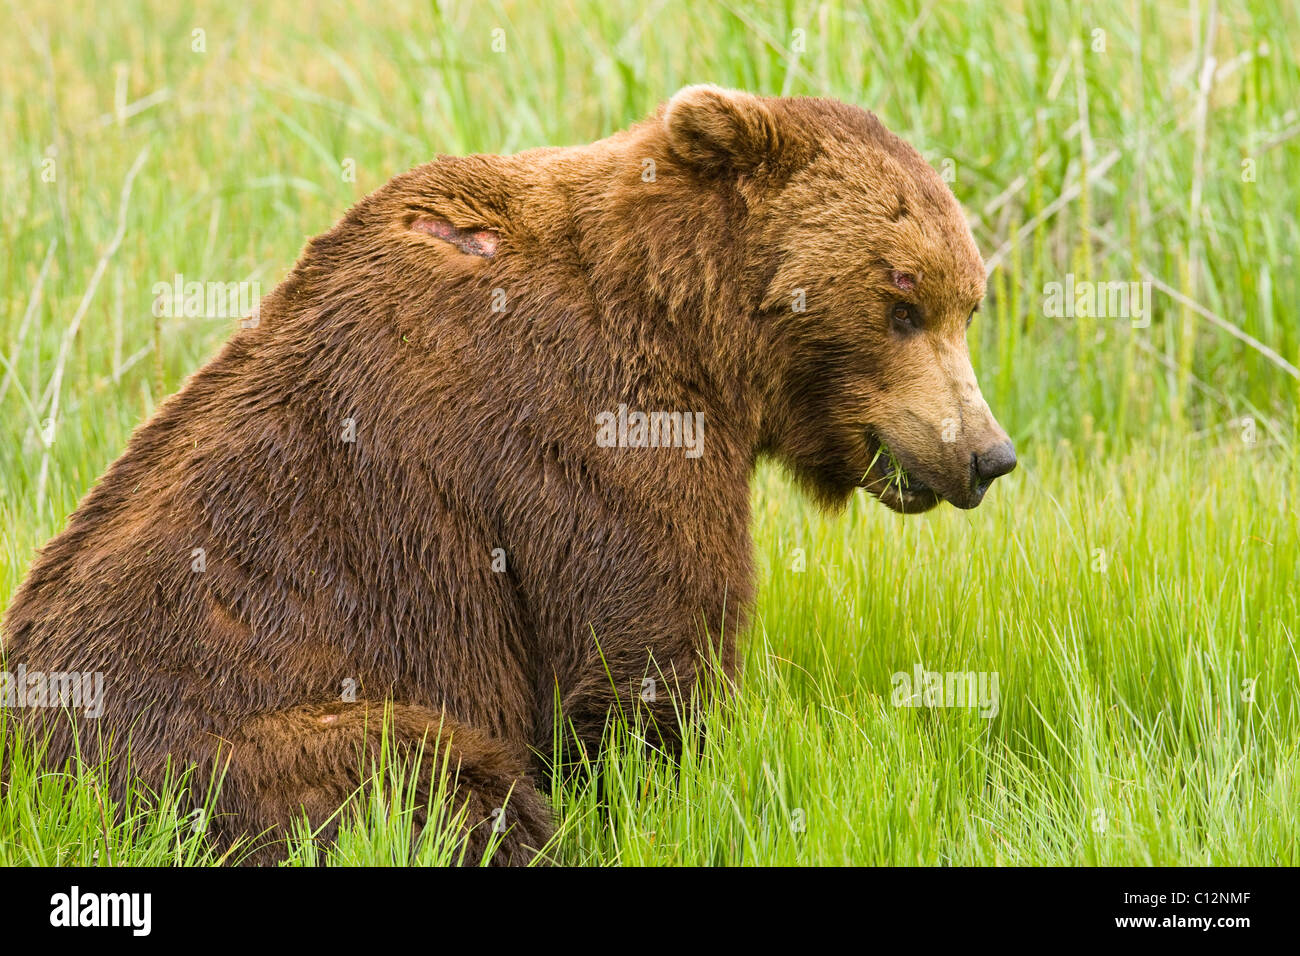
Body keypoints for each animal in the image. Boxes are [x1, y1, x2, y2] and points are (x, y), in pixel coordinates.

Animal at [1, 85, 1014, 864]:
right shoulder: (588, 429)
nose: (988, 454)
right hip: (212, 751)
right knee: (420, 769)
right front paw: (680, 797)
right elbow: (646, 656)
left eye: (969, 302)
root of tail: (29, 773)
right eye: (901, 301)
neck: (688, 327)